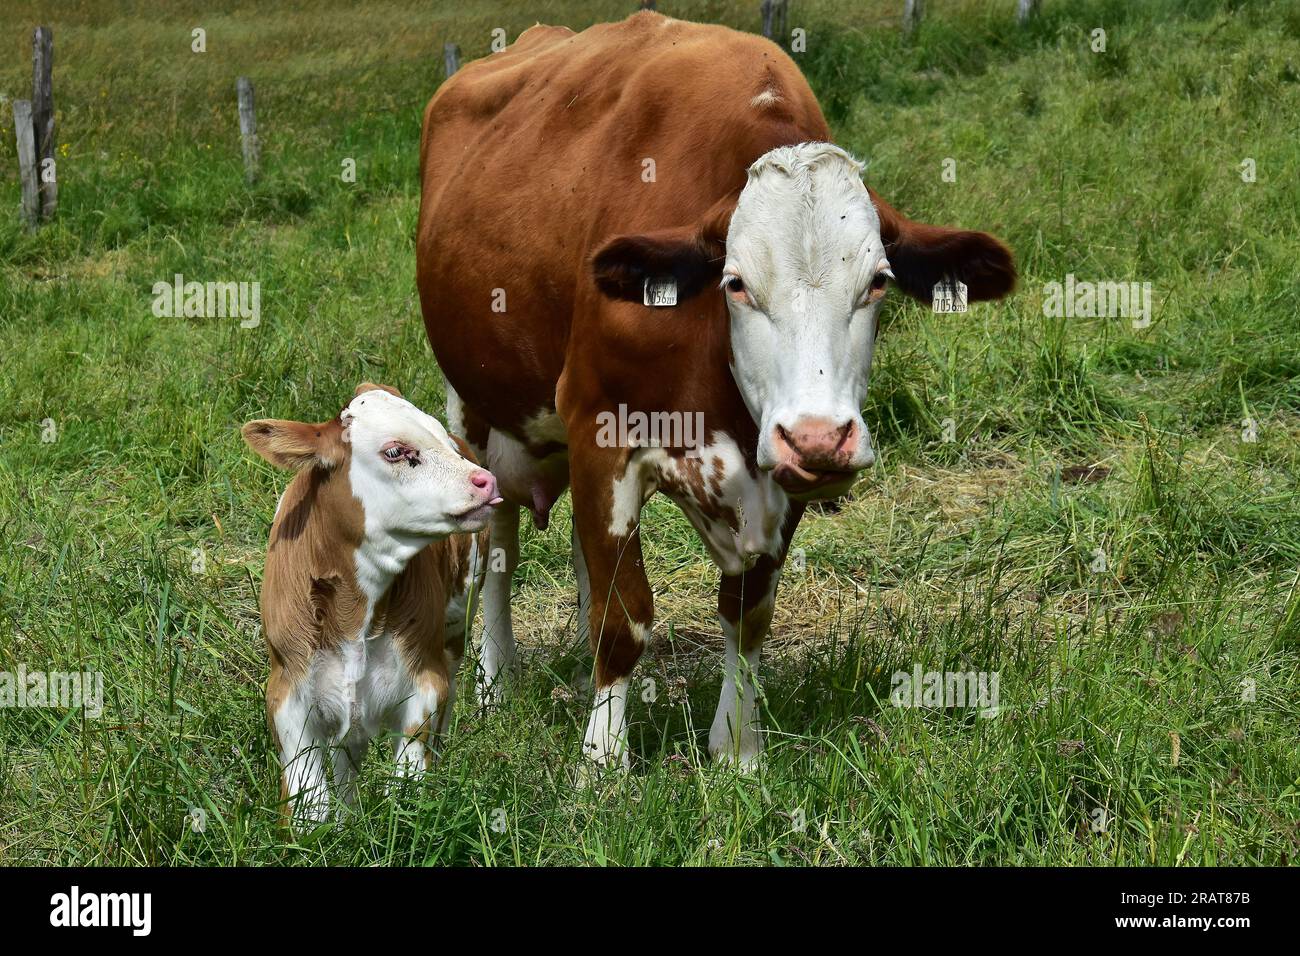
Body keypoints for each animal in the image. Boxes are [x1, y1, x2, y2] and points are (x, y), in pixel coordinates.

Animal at [242, 384, 499, 822]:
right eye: (395, 451)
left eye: (442, 442)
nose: (486, 481)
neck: (354, 611)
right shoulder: (287, 692)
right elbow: (310, 803)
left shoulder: (426, 679)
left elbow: (408, 786)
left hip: (455, 627)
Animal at [416, 12, 1015, 770]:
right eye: (736, 282)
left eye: (878, 281)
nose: (821, 437)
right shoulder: (601, 433)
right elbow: (623, 617)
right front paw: (602, 762)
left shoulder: (777, 470)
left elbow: (745, 615)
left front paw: (736, 748)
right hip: (473, 408)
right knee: (497, 548)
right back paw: (497, 683)